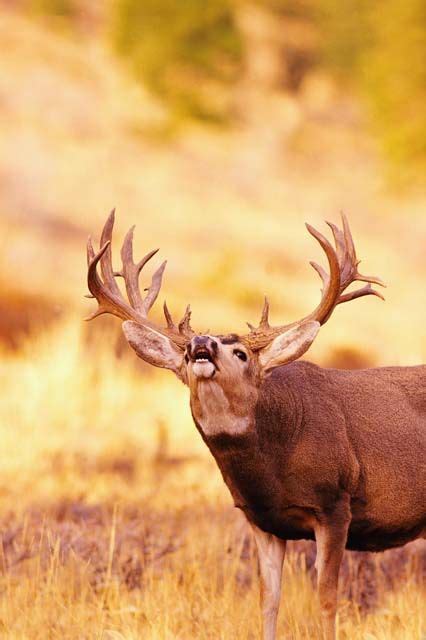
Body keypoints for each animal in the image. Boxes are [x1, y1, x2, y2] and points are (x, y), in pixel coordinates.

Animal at [86, 211, 425, 640]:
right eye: (184, 355)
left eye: (241, 353)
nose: (200, 343)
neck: (275, 464)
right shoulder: (261, 520)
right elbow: (268, 600)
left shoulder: (335, 503)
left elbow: (326, 600)